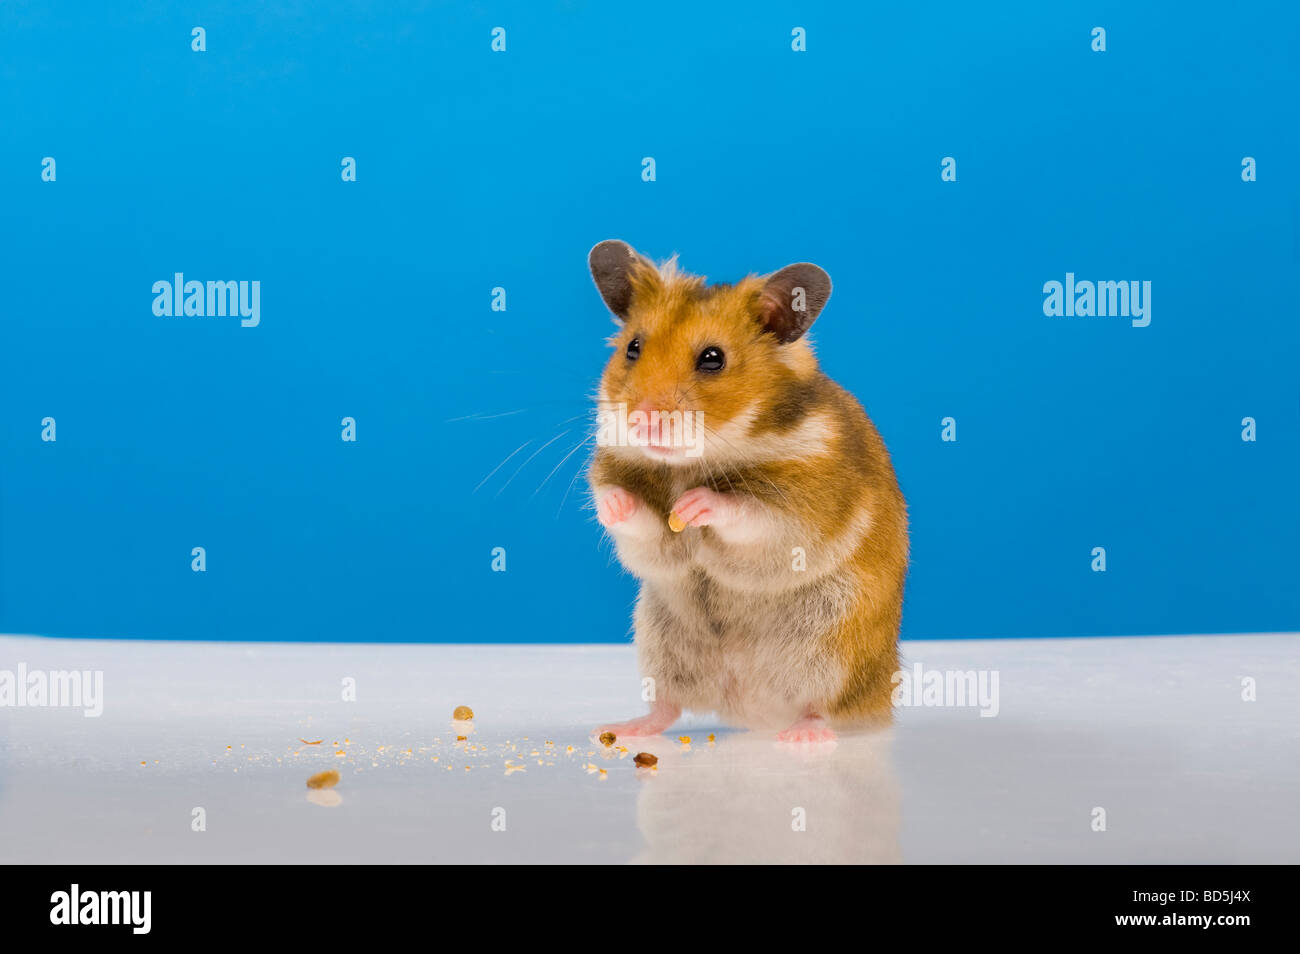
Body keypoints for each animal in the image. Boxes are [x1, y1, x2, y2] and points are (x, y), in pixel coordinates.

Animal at [586, 240, 909, 743]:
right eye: (633, 348)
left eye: (713, 358)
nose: (642, 421)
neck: (691, 464)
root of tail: (752, 712)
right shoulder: (657, 543)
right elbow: (641, 525)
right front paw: (617, 502)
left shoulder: (802, 509)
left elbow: (748, 512)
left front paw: (694, 504)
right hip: (660, 643)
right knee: (667, 705)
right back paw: (624, 729)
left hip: (836, 651)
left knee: (826, 709)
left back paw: (801, 737)